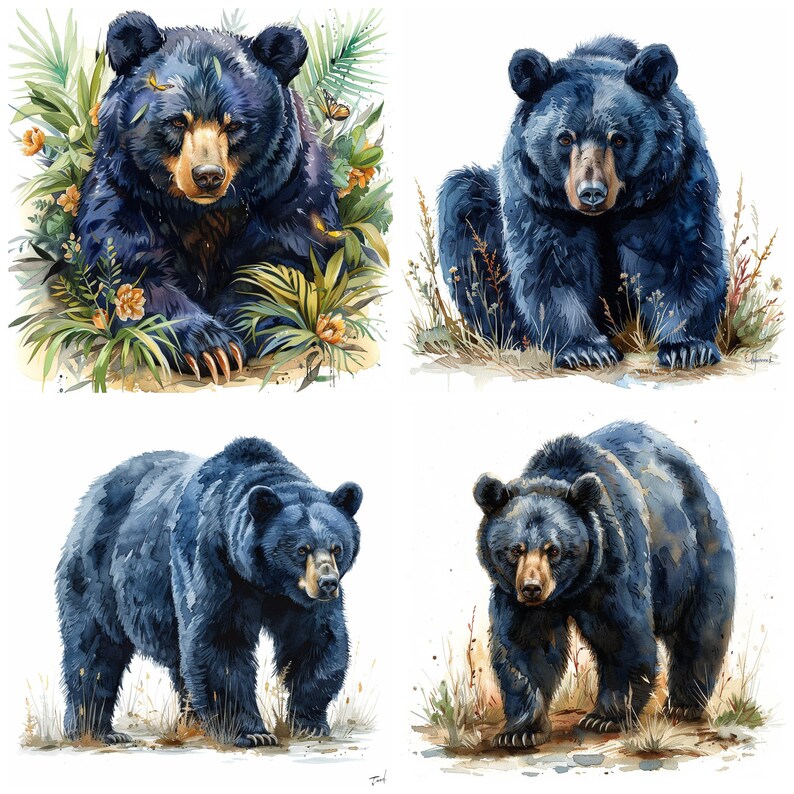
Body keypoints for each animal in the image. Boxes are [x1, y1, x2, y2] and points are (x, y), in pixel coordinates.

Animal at [56, 437, 363, 747]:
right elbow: (220, 641)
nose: (327, 583)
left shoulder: (299, 601)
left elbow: (317, 640)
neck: (267, 581)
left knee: (179, 663)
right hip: (97, 569)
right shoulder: (212, 561)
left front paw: (309, 722)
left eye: (337, 547)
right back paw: (96, 730)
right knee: (94, 646)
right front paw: (252, 732)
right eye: (301, 549)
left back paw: (191, 723)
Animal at [72, 13, 341, 382]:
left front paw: (239, 323)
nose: (208, 176)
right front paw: (213, 347)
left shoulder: (290, 190)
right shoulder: (125, 192)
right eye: (176, 121)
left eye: (234, 125)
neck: (201, 211)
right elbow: (128, 272)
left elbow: (285, 262)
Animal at [439, 36, 728, 369]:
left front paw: (687, 346)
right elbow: (552, 262)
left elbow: (677, 254)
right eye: (565, 138)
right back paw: (510, 336)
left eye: (619, 138)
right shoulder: (540, 194)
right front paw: (586, 349)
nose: (591, 192)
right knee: (463, 208)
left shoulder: (669, 181)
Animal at [473, 421, 734, 747]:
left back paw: (685, 704)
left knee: (701, 628)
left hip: (697, 552)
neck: (570, 588)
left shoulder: (613, 562)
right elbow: (525, 643)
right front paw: (519, 731)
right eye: (515, 549)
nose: (532, 588)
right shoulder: (513, 593)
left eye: (554, 549)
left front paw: (604, 717)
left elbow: (621, 635)